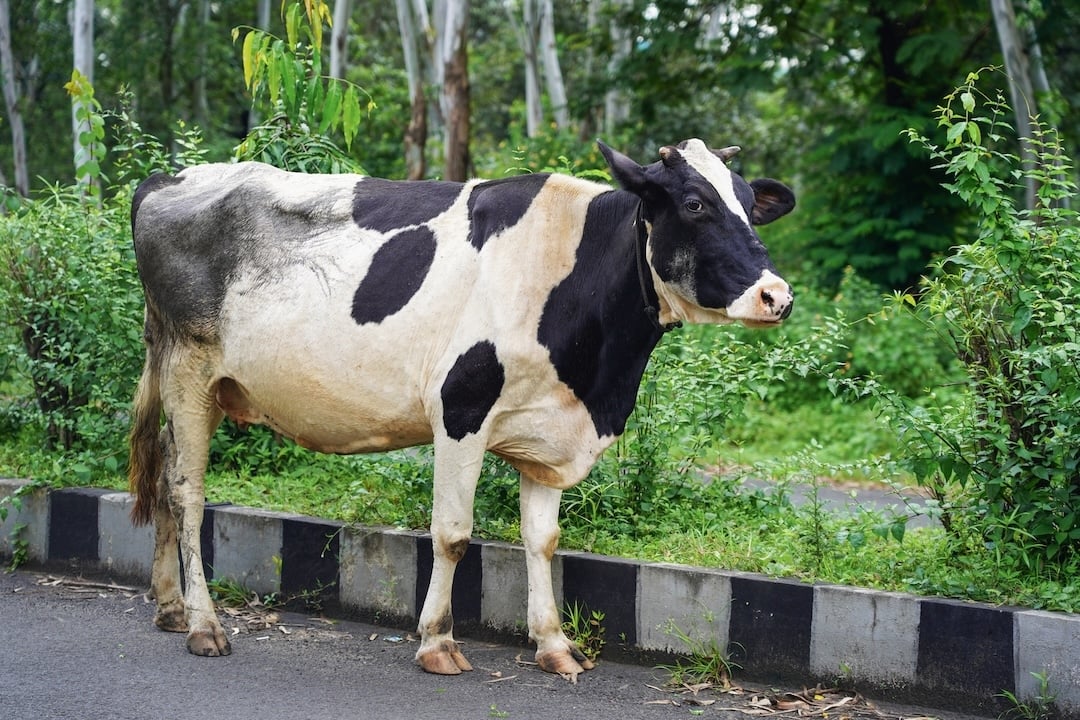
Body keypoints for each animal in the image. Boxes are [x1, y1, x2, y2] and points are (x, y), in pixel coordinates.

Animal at [127, 138, 795, 679]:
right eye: (694, 204)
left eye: (746, 201)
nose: (777, 295)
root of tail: (169, 177)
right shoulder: (460, 411)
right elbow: (452, 535)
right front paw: (437, 643)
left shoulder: (547, 429)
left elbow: (543, 541)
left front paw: (555, 646)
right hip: (189, 368)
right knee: (186, 492)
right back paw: (203, 625)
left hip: (199, 379)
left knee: (161, 475)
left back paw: (169, 607)